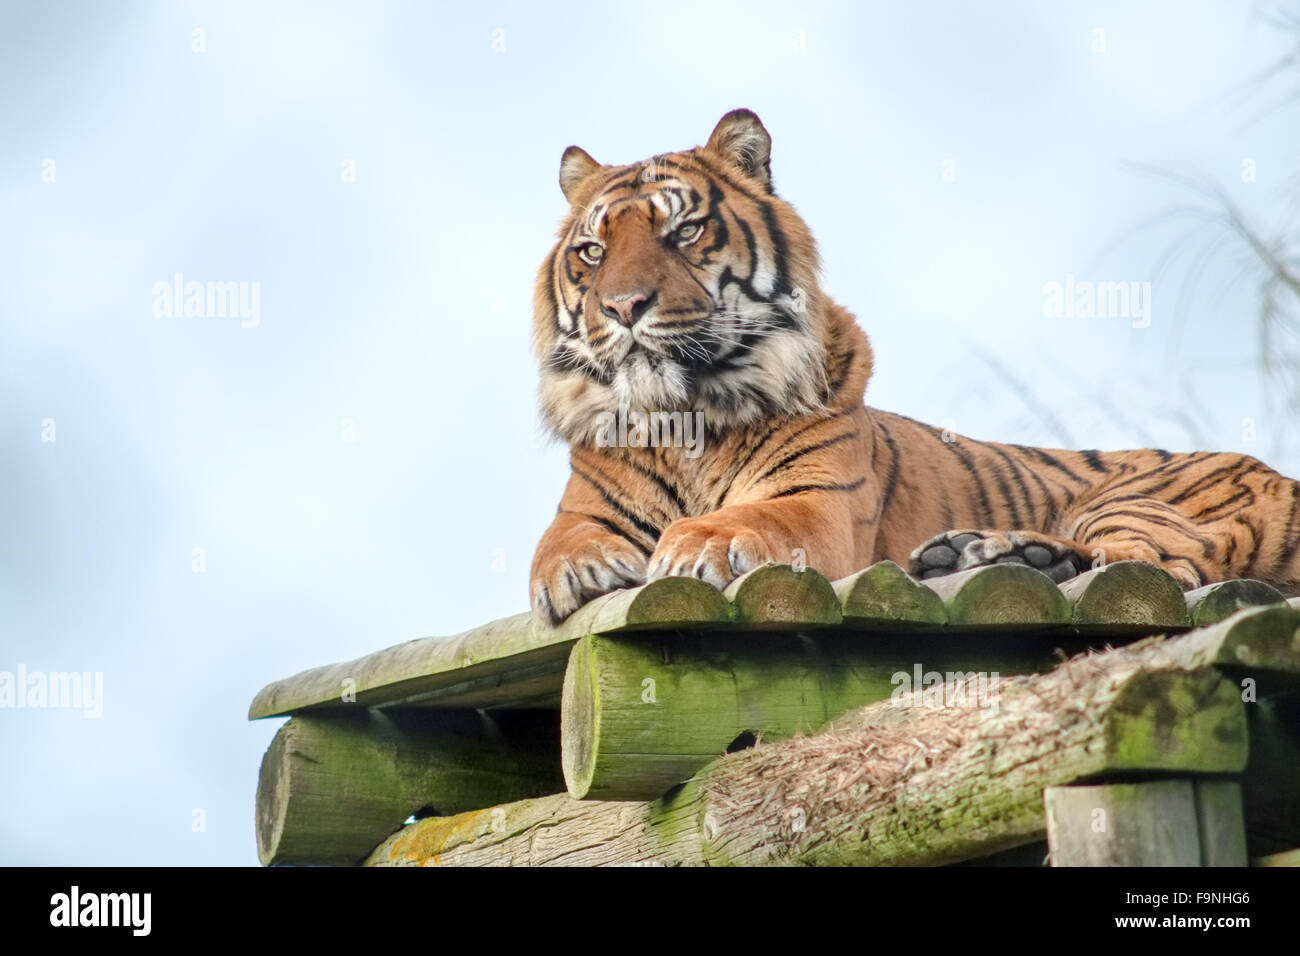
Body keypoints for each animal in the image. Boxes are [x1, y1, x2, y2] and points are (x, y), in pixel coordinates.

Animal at [528, 108, 1300, 625]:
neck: (687, 417)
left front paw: (697, 541)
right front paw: (581, 569)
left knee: (1157, 564)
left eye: (684, 231)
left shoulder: (816, 503)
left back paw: (1012, 555)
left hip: (1135, 497)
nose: (623, 307)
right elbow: (554, 545)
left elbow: (746, 517)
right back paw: (982, 555)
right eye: (592, 251)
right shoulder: (583, 507)